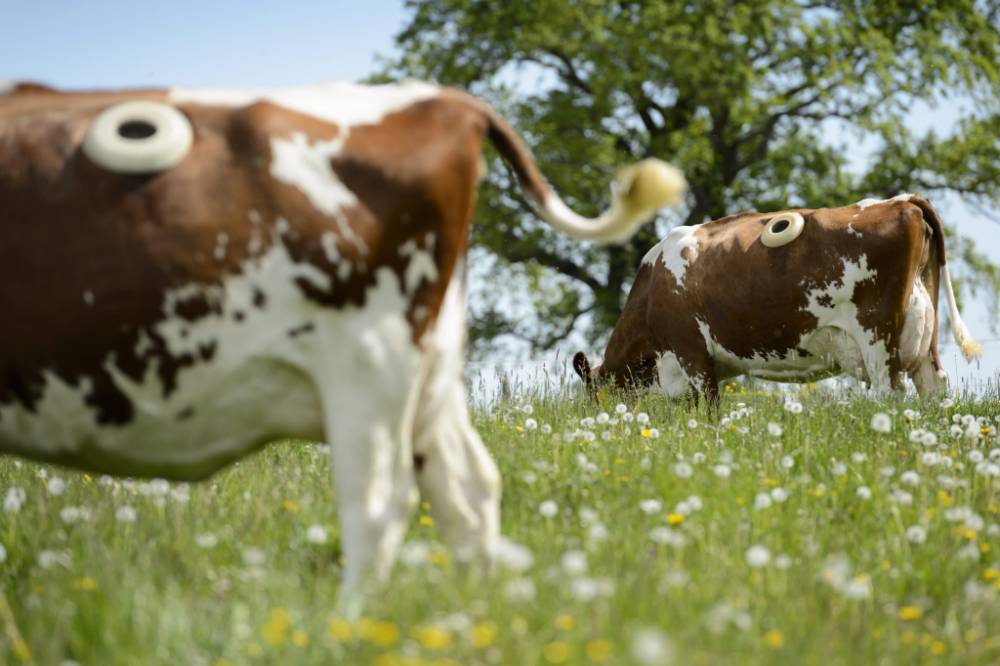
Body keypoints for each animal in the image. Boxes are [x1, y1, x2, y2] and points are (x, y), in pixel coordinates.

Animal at [576, 193, 980, 404]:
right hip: (923, 338)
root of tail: (902, 201)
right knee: (933, 388)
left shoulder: (691, 353)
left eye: (593, 397)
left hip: (879, 339)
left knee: (889, 393)